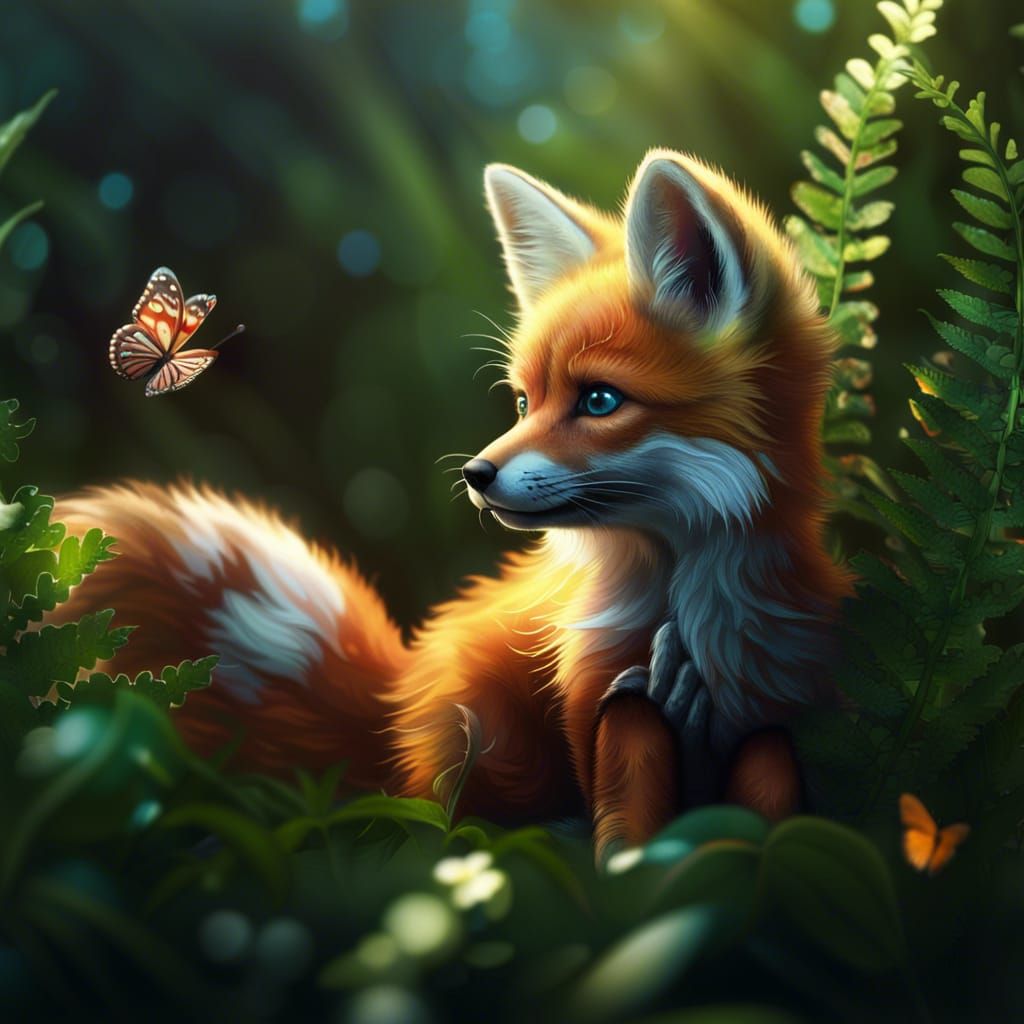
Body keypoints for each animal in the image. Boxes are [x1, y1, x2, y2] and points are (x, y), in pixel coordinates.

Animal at [51, 150, 850, 862]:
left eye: (598, 400)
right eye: (524, 402)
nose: (476, 474)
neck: (685, 612)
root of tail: (396, 703)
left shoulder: (782, 711)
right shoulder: (592, 703)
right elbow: (623, 818)